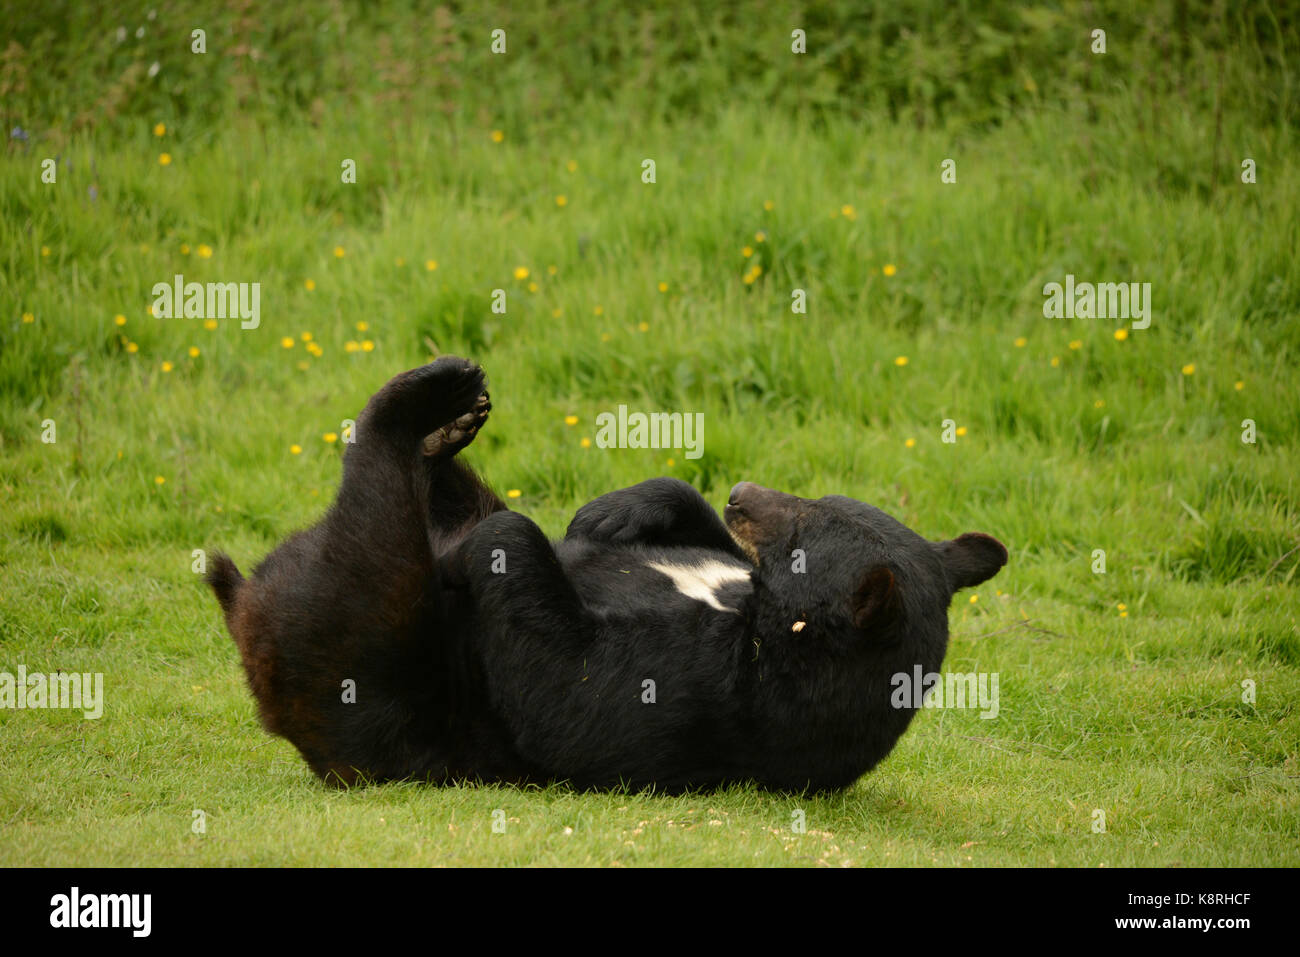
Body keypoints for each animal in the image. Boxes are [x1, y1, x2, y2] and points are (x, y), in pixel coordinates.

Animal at [209, 357, 1007, 792]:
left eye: (803, 532)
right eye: (817, 501)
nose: (743, 493)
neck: (758, 621)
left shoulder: (708, 689)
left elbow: (569, 682)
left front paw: (497, 547)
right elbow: (674, 518)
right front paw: (613, 514)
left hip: (363, 636)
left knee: (378, 521)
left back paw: (425, 401)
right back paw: (451, 425)